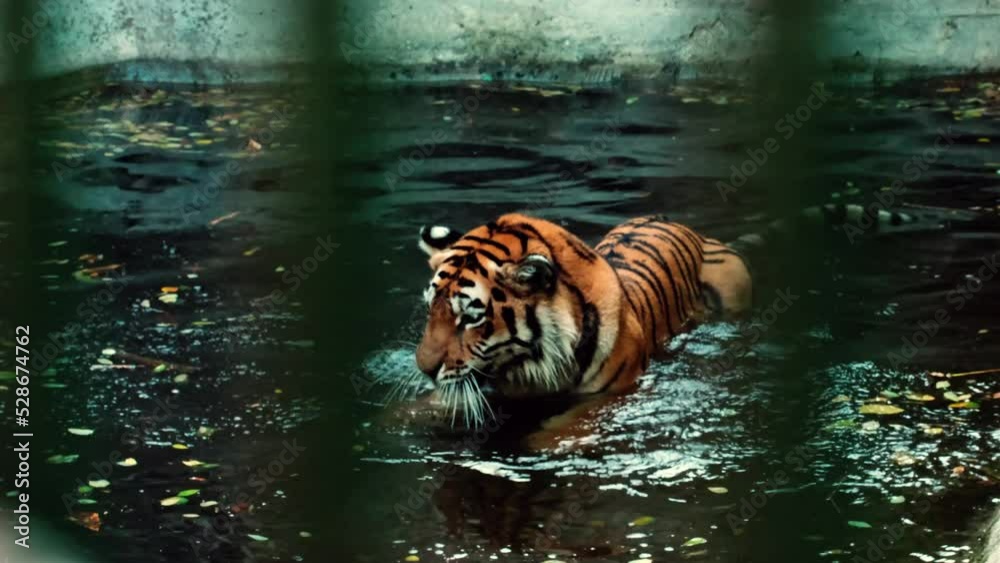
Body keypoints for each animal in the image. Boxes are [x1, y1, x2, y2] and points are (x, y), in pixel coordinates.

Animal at [413, 205, 928, 428]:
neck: (526, 366)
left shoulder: (608, 397)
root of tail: (708, 238)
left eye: (470, 317)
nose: (424, 367)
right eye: (431, 309)